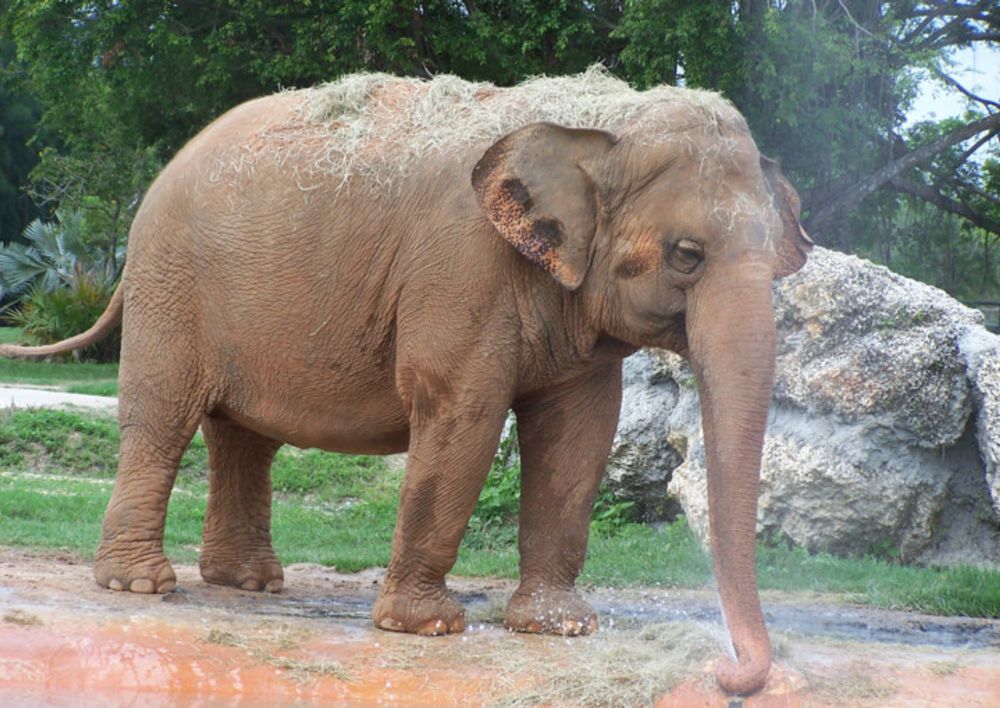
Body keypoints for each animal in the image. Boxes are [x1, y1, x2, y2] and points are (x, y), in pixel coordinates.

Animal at [0, 68, 811, 695]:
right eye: (686, 255)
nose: (725, 672)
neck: (595, 126)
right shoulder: (460, 270)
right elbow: (464, 415)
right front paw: (427, 628)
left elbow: (581, 435)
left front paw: (561, 627)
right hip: (171, 284)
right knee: (161, 418)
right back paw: (143, 585)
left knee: (242, 437)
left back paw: (250, 584)